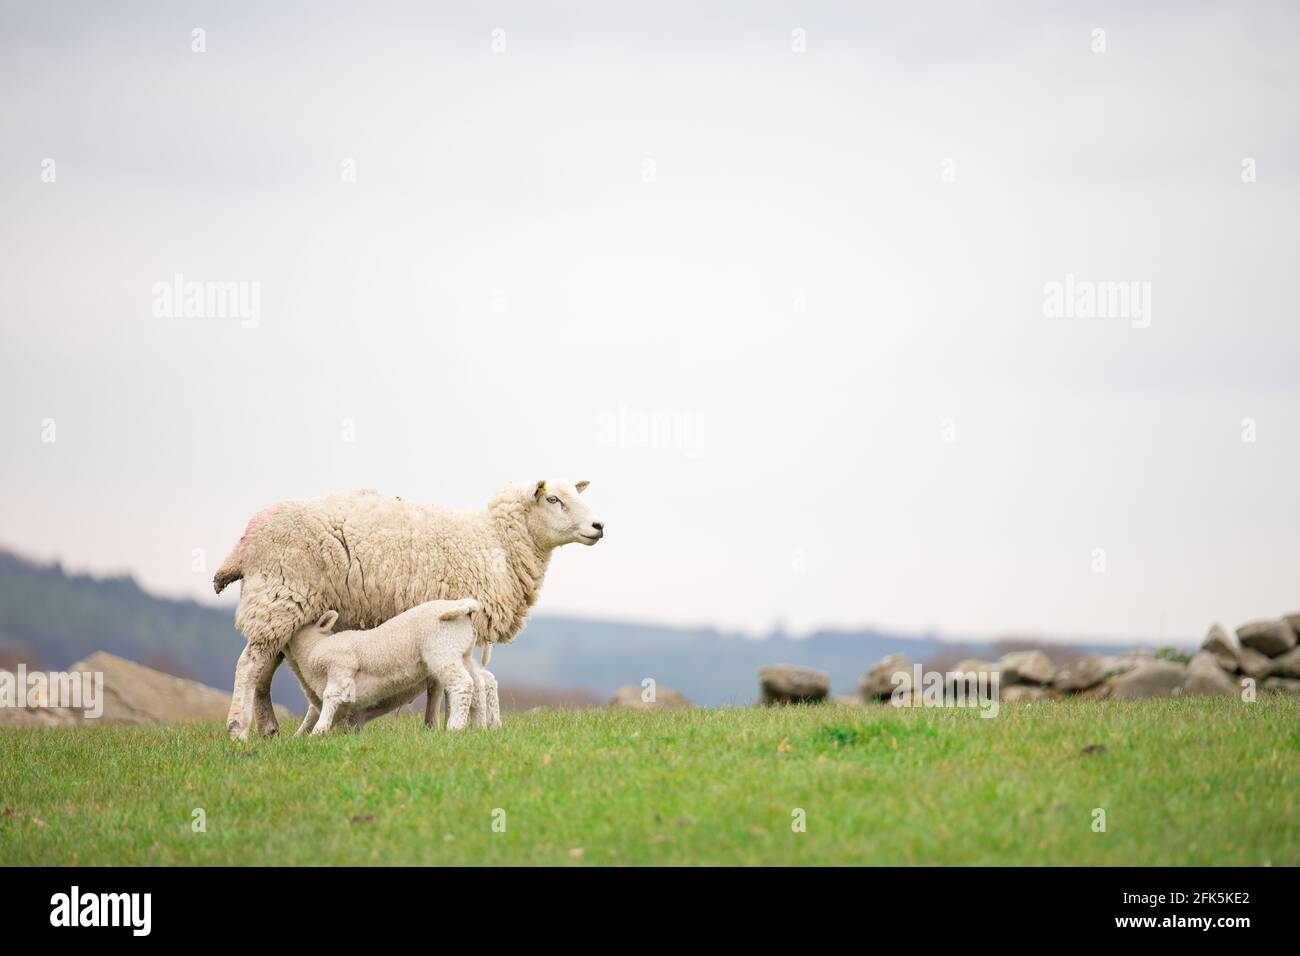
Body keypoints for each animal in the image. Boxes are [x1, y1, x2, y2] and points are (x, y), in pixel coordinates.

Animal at [286, 598, 497, 734]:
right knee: (478, 684)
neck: (313, 647)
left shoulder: (341, 665)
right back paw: (478, 726)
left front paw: (318, 732)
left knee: (462, 684)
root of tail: (462, 606)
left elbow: (330, 696)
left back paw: (456, 727)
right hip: (462, 653)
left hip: (442, 651)